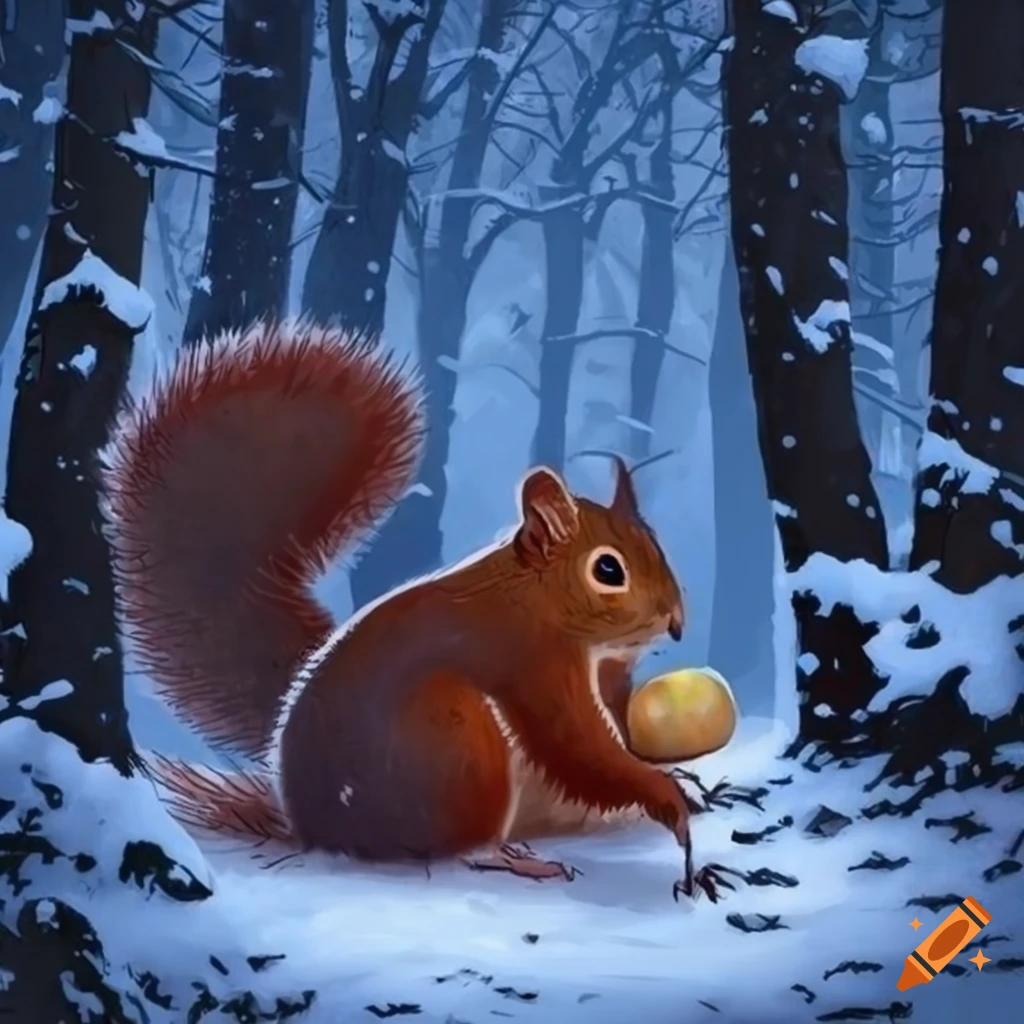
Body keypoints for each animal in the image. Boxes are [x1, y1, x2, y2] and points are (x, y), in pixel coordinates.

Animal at [104, 320, 728, 901]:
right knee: (457, 849)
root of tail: (312, 829)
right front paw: (665, 797)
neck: (544, 607)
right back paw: (516, 859)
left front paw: (678, 779)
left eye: (656, 546)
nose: (675, 622)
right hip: (457, 744)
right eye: (608, 571)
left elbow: (619, 741)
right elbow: (581, 753)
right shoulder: (532, 665)